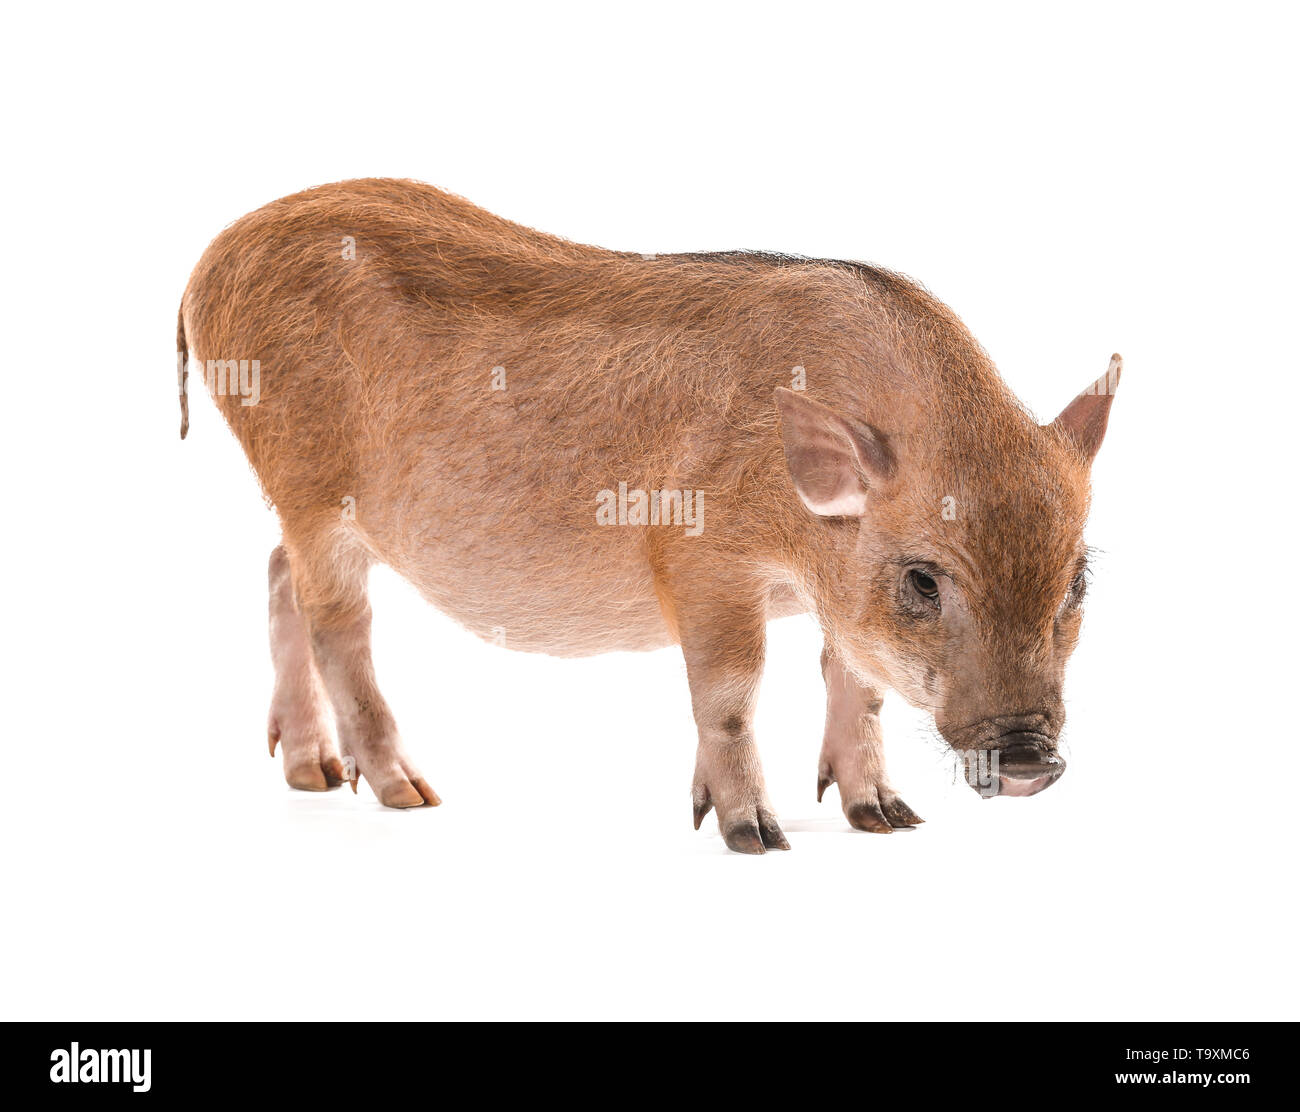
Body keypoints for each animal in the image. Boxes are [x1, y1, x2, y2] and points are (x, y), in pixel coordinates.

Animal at [178, 178, 1120, 853]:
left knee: (278, 575)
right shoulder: (700, 559)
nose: (1030, 761)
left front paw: (890, 822)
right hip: (308, 486)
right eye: (924, 581)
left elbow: (858, 683)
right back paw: (409, 796)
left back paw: (313, 777)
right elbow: (731, 691)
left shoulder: (833, 596)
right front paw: (755, 839)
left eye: (1078, 580)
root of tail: (210, 258)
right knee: (339, 623)